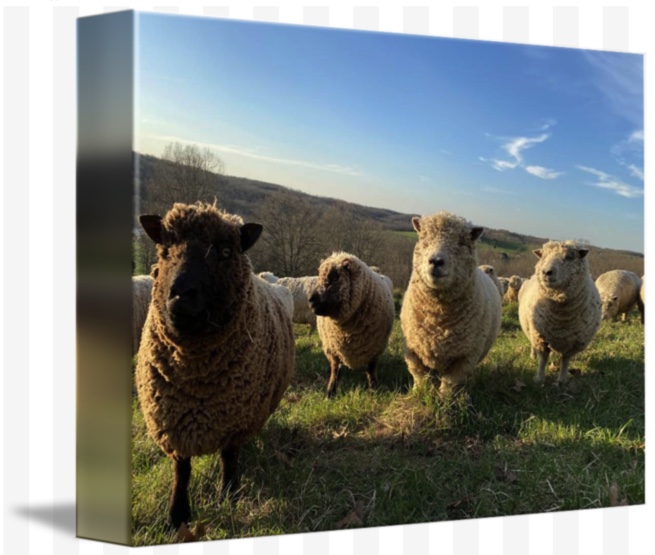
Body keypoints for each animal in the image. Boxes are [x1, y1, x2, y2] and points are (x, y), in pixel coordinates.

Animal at [135, 202, 295, 531]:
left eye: (224, 252)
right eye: (166, 248)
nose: (181, 293)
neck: (194, 370)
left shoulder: (236, 418)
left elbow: (229, 459)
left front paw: (228, 498)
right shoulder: (173, 423)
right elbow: (181, 471)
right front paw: (177, 516)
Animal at [308, 252, 395, 397]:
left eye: (335, 277)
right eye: (319, 275)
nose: (310, 300)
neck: (346, 331)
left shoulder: (375, 349)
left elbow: (371, 370)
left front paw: (373, 390)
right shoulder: (333, 349)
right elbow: (335, 372)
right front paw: (330, 393)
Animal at [400, 212, 502, 394]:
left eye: (461, 243)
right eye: (424, 238)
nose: (436, 261)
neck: (437, 318)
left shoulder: (465, 357)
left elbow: (450, 385)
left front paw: (444, 400)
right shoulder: (412, 351)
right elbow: (421, 378)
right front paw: (420, 393)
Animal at [518, 240, 601, 383]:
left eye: (568, 257)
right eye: (543, 256)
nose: (546, 272)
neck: (561, 316)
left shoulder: (574, 343)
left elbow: (565, 360)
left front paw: (562, 379)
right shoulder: (540, 337)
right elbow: (543, 359)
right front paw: (539, 378)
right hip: (531, 330)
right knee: (533, 346)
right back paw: (533, 356)